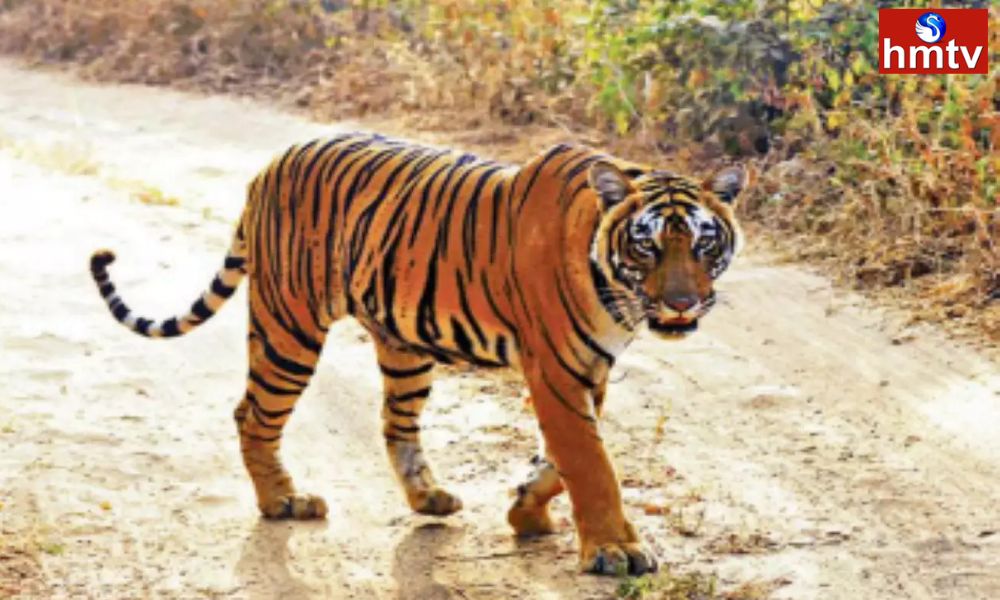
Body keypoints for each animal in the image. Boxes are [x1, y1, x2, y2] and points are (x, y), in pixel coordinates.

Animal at [89, 132, 745, 576]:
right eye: (647, 246)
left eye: (704, 244)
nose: (683, 304)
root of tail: (270, 164)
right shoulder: (556, 371)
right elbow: (591, 463)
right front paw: (614, 549)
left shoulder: (590, 371)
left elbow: (560, 461)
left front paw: (527, 512)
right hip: (289, 327)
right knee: (252, 413)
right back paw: (282, 501)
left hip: (403, 347)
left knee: (394, 423)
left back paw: (427, 496)